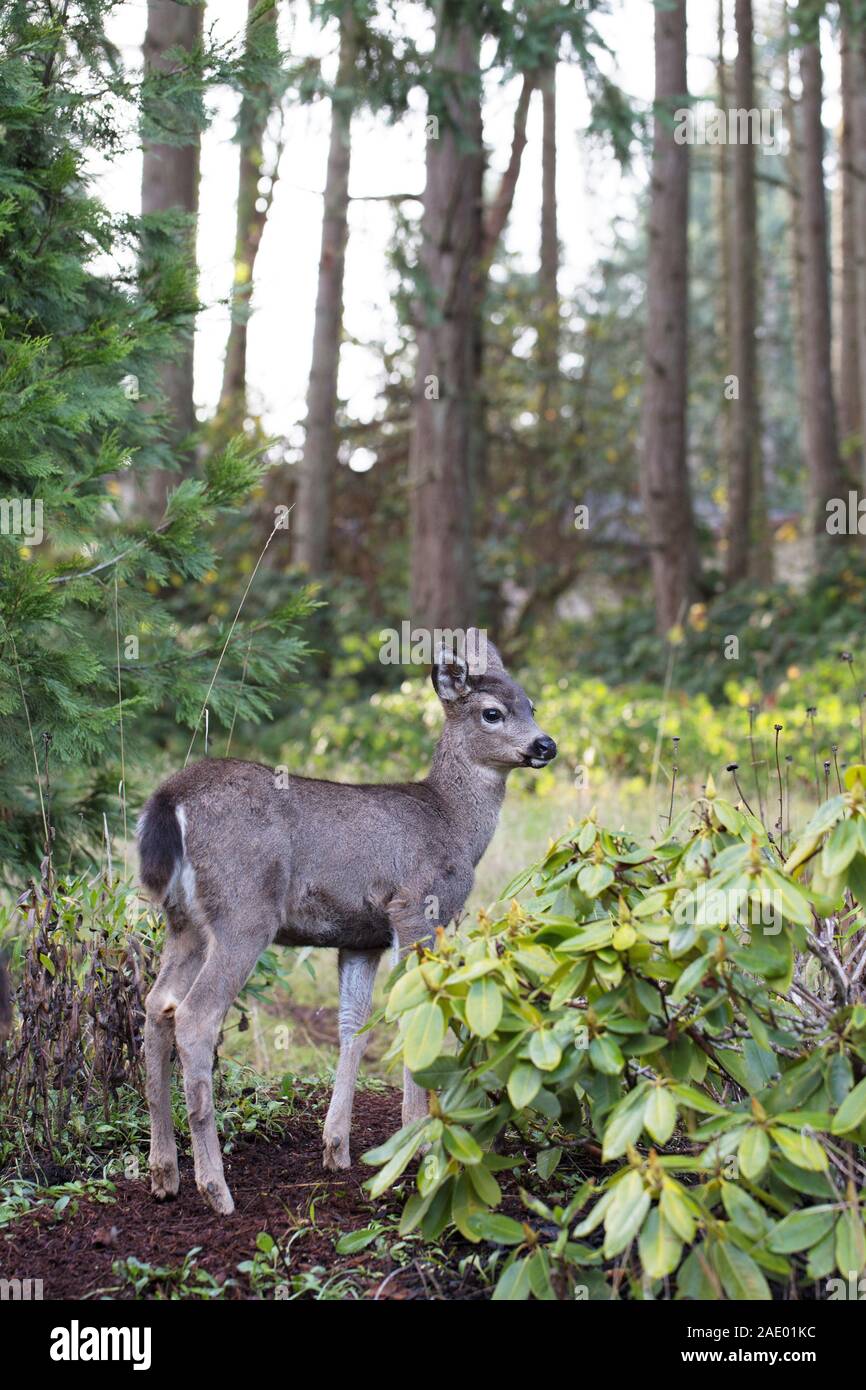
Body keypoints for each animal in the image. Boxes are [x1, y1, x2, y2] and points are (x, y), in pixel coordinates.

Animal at [137, 630, 557, 1215]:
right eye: (492, 712)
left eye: (532, 705)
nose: (545, 745)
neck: (452, 824)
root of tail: (168, 798)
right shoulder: (416, 907)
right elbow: (412, 1016)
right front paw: (419, 1140)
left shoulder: (360, 938)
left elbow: (353, 1027)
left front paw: (336, 1147)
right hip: (244, 911)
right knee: (195, 1018)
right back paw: (215, 1189)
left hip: (184, 922)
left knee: (157, 1006)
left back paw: (163, 1173)